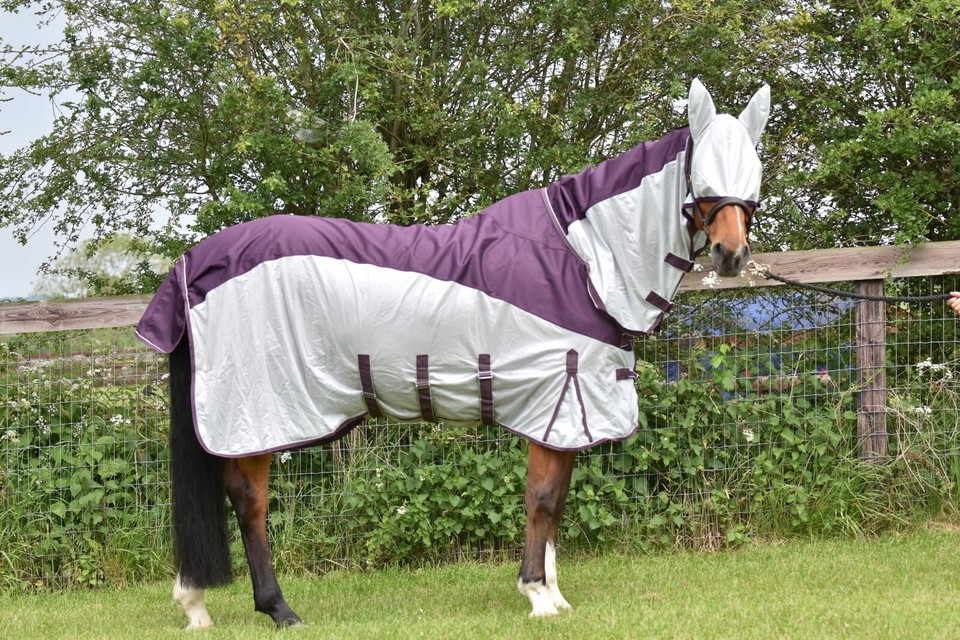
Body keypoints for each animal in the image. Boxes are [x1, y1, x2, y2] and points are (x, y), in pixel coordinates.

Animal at [136, 79, 770, 628]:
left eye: (754, 176)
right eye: (702, 176)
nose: (731, 255)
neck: (585, 261)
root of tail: (194, 263)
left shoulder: (565, 414)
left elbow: (556, 503)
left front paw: (555, 594)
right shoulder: (558, 400)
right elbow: (542, 500)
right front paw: (537, 596)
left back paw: (198, 607)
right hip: (260, 410)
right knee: (250, 504)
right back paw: (277, 609)